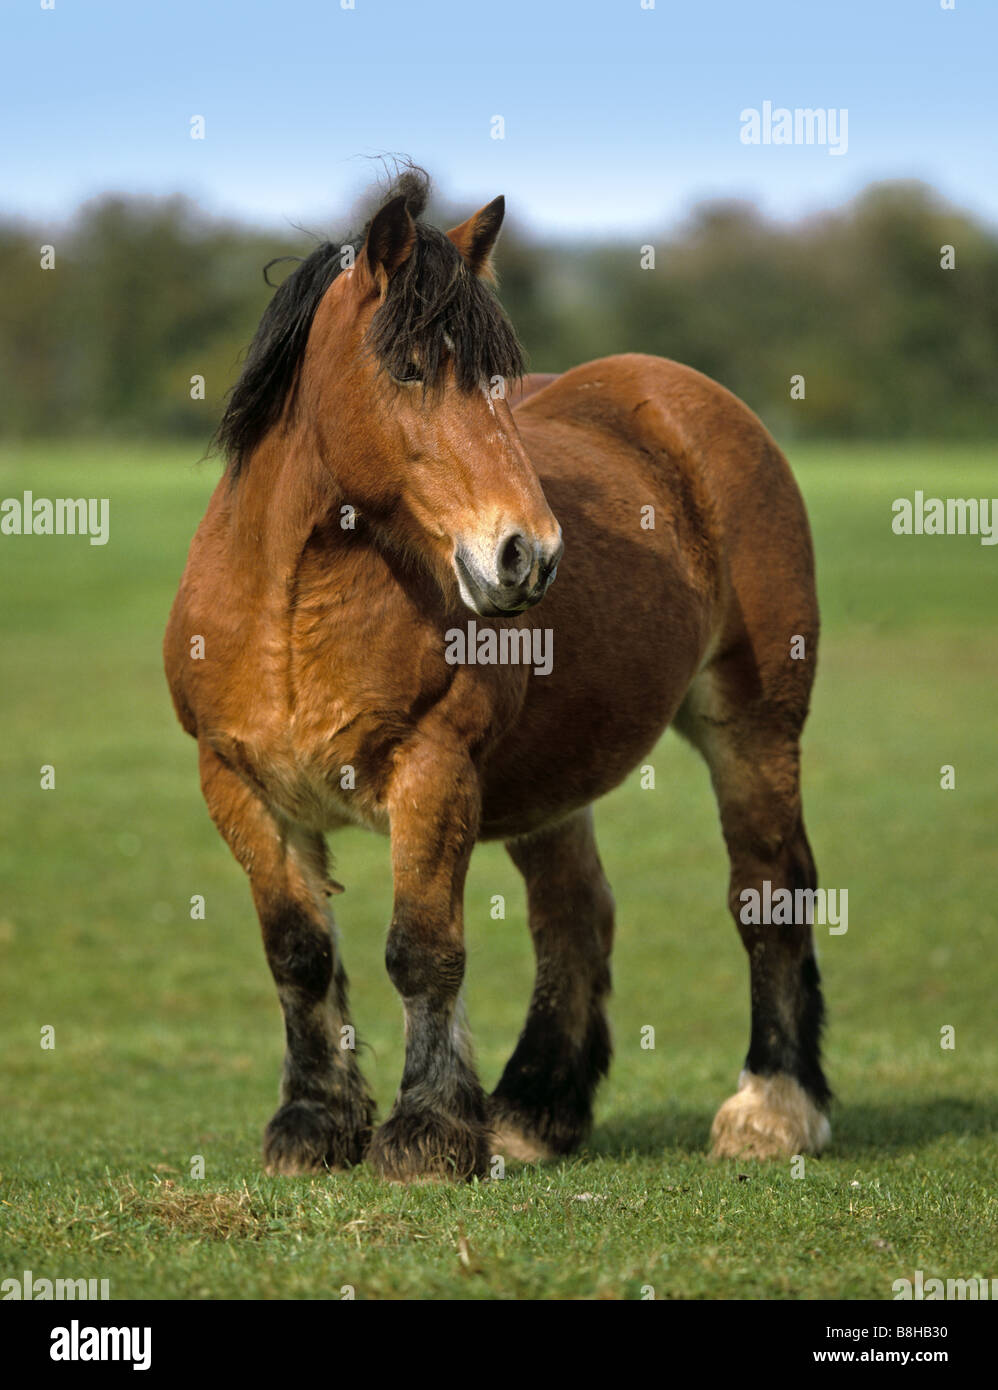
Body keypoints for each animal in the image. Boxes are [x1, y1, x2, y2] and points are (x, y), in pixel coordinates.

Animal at [164, 169, 830, 1181]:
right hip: (552, 783)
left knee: (769, 889)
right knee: (575, 916)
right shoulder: (238, 785)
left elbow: (422, 951)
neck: (288, 615)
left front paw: (428, 1133)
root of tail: (690, 400)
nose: (530, 553)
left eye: (493, 380)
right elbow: (299, 954)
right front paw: (315, 1124)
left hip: (753, 727)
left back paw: (772, 1109)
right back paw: (532, 1110)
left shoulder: (434, 773)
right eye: (408, 369)